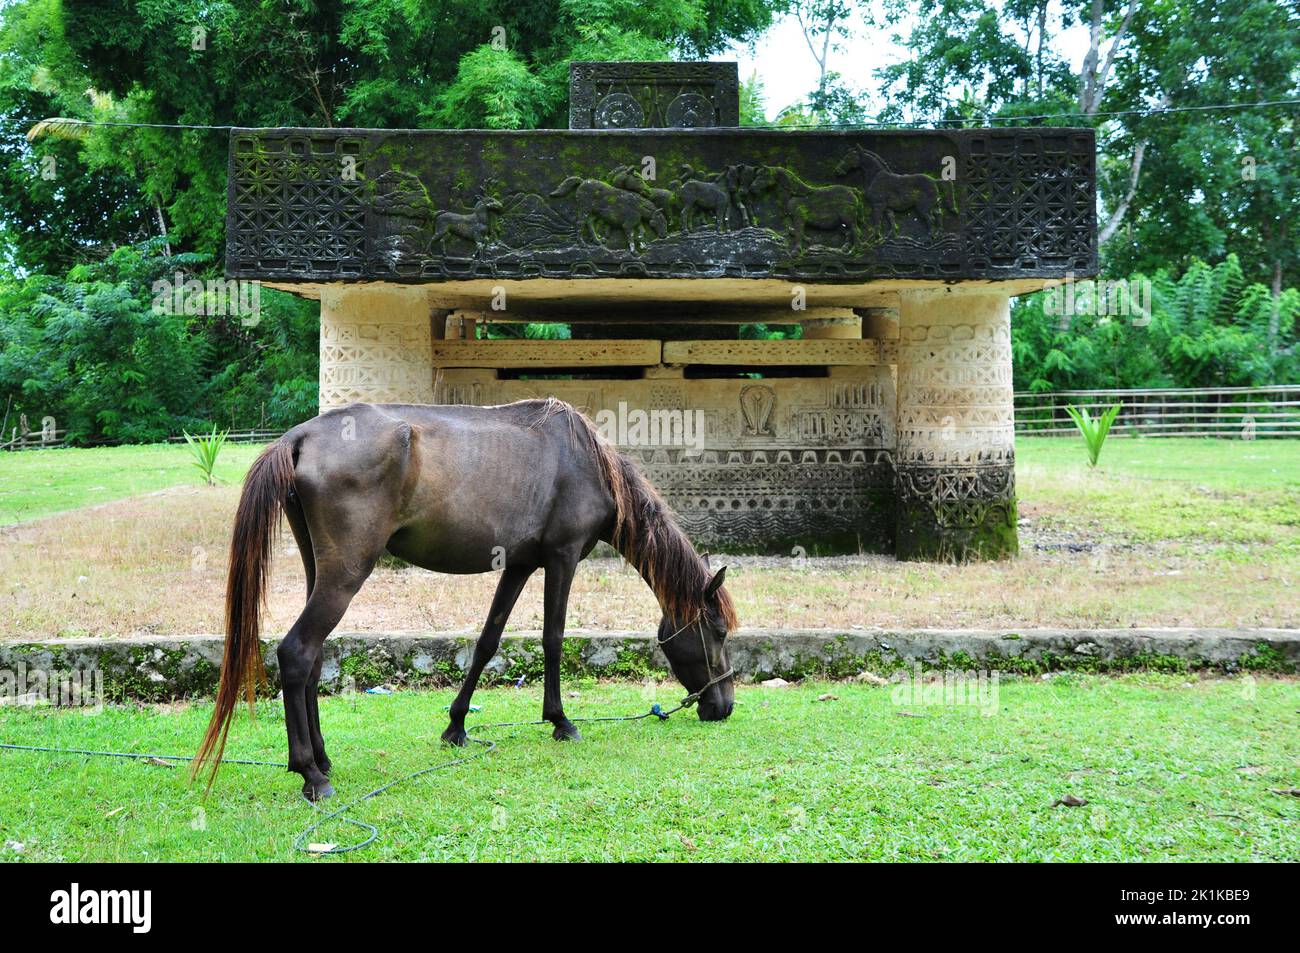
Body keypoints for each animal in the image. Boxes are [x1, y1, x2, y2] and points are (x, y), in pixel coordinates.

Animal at [191, 399, 737, 801]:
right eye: (717, 630)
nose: (724, 706)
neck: (585, 460)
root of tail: (299, 438)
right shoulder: (561, 560)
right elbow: (552, 639)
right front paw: (561, 721)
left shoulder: (518, 565)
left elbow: (488, 642)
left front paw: (456, 727)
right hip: (345, 575)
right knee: (297, 652)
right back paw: (311, 774)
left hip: (320, 571)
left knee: (312, 657)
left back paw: (321, 760)